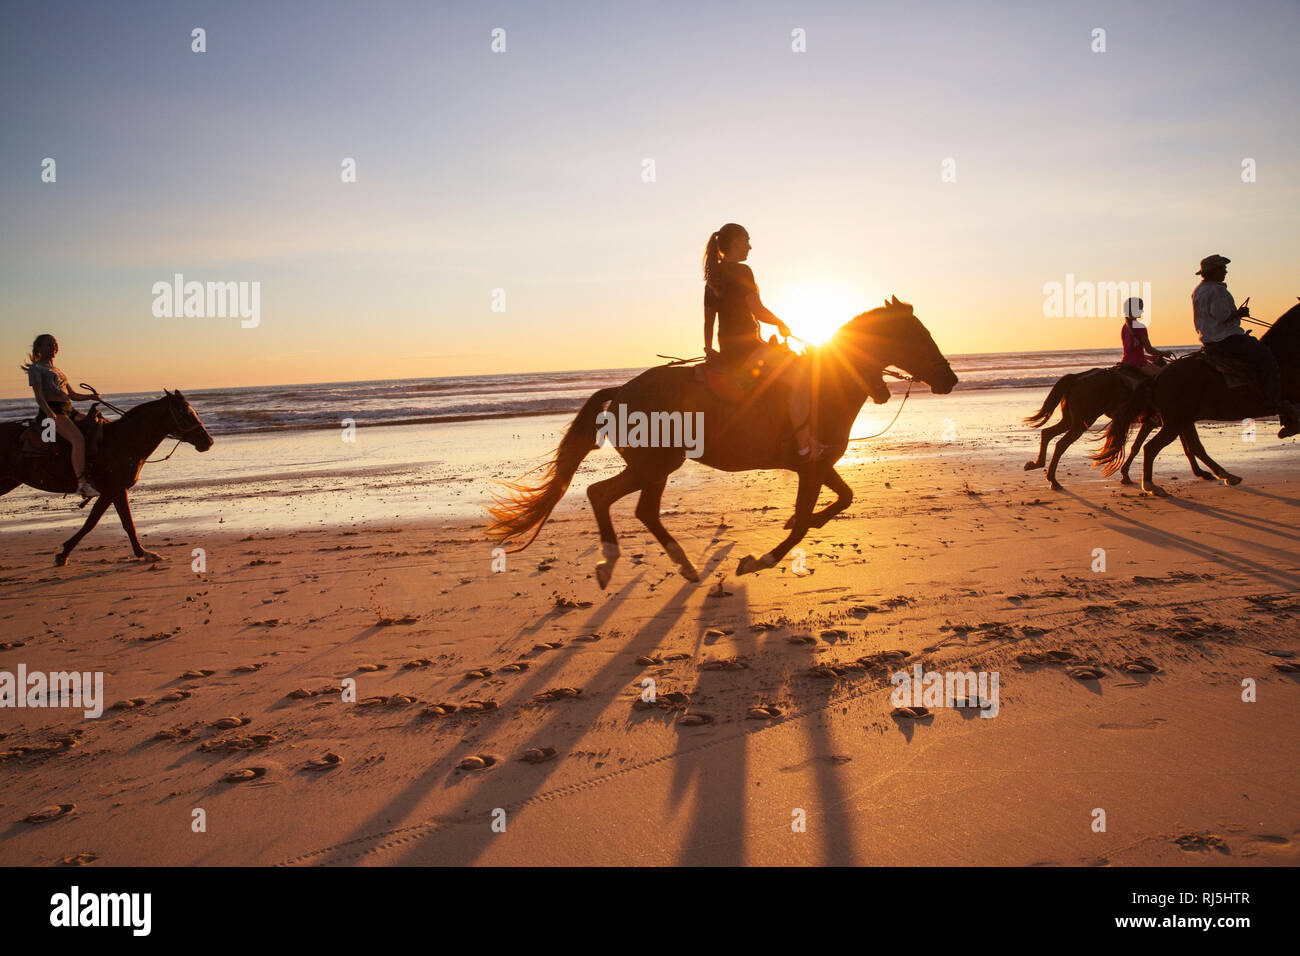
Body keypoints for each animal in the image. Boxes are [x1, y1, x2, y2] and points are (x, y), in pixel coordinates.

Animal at [0, 389, 214, 565]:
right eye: (185, 413)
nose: (208, 441)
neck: (123, 441)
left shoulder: (115, 491)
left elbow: (112, 522)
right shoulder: (114, 489)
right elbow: (109, 522)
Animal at [486, 296, 957, 586]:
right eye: (917, 335)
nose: (950, 379)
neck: (831, 381)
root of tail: (620, 392)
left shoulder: (818, 465)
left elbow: (843, 499)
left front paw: (800, 521)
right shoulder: (810, 467)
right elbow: (804, 523)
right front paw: (758, 560)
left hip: (653, 467)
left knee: (622, 502)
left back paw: (659, 565)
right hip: (656, 465)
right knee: (616, 500)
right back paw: (640, 564)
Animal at [1023, 365, 1212, 489]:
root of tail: (1077, 377)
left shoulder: (1164, 422)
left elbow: (1139, 447)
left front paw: (1125, 474)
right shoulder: (1165, 422)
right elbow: (1189, 447)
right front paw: (1201, 472)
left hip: (1070, 420)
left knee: (1047, 433)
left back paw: (1038, 465)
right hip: (1082, 422)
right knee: (1061, 444)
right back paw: (1052, 479)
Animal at [1093, 302, 1300, 496]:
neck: (1283, 356)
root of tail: (1157, 378)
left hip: (1180, 420)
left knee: (1190, 446)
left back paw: (1225, 475)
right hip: (1174, 422)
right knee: (1152, 447)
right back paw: (1152, 486)